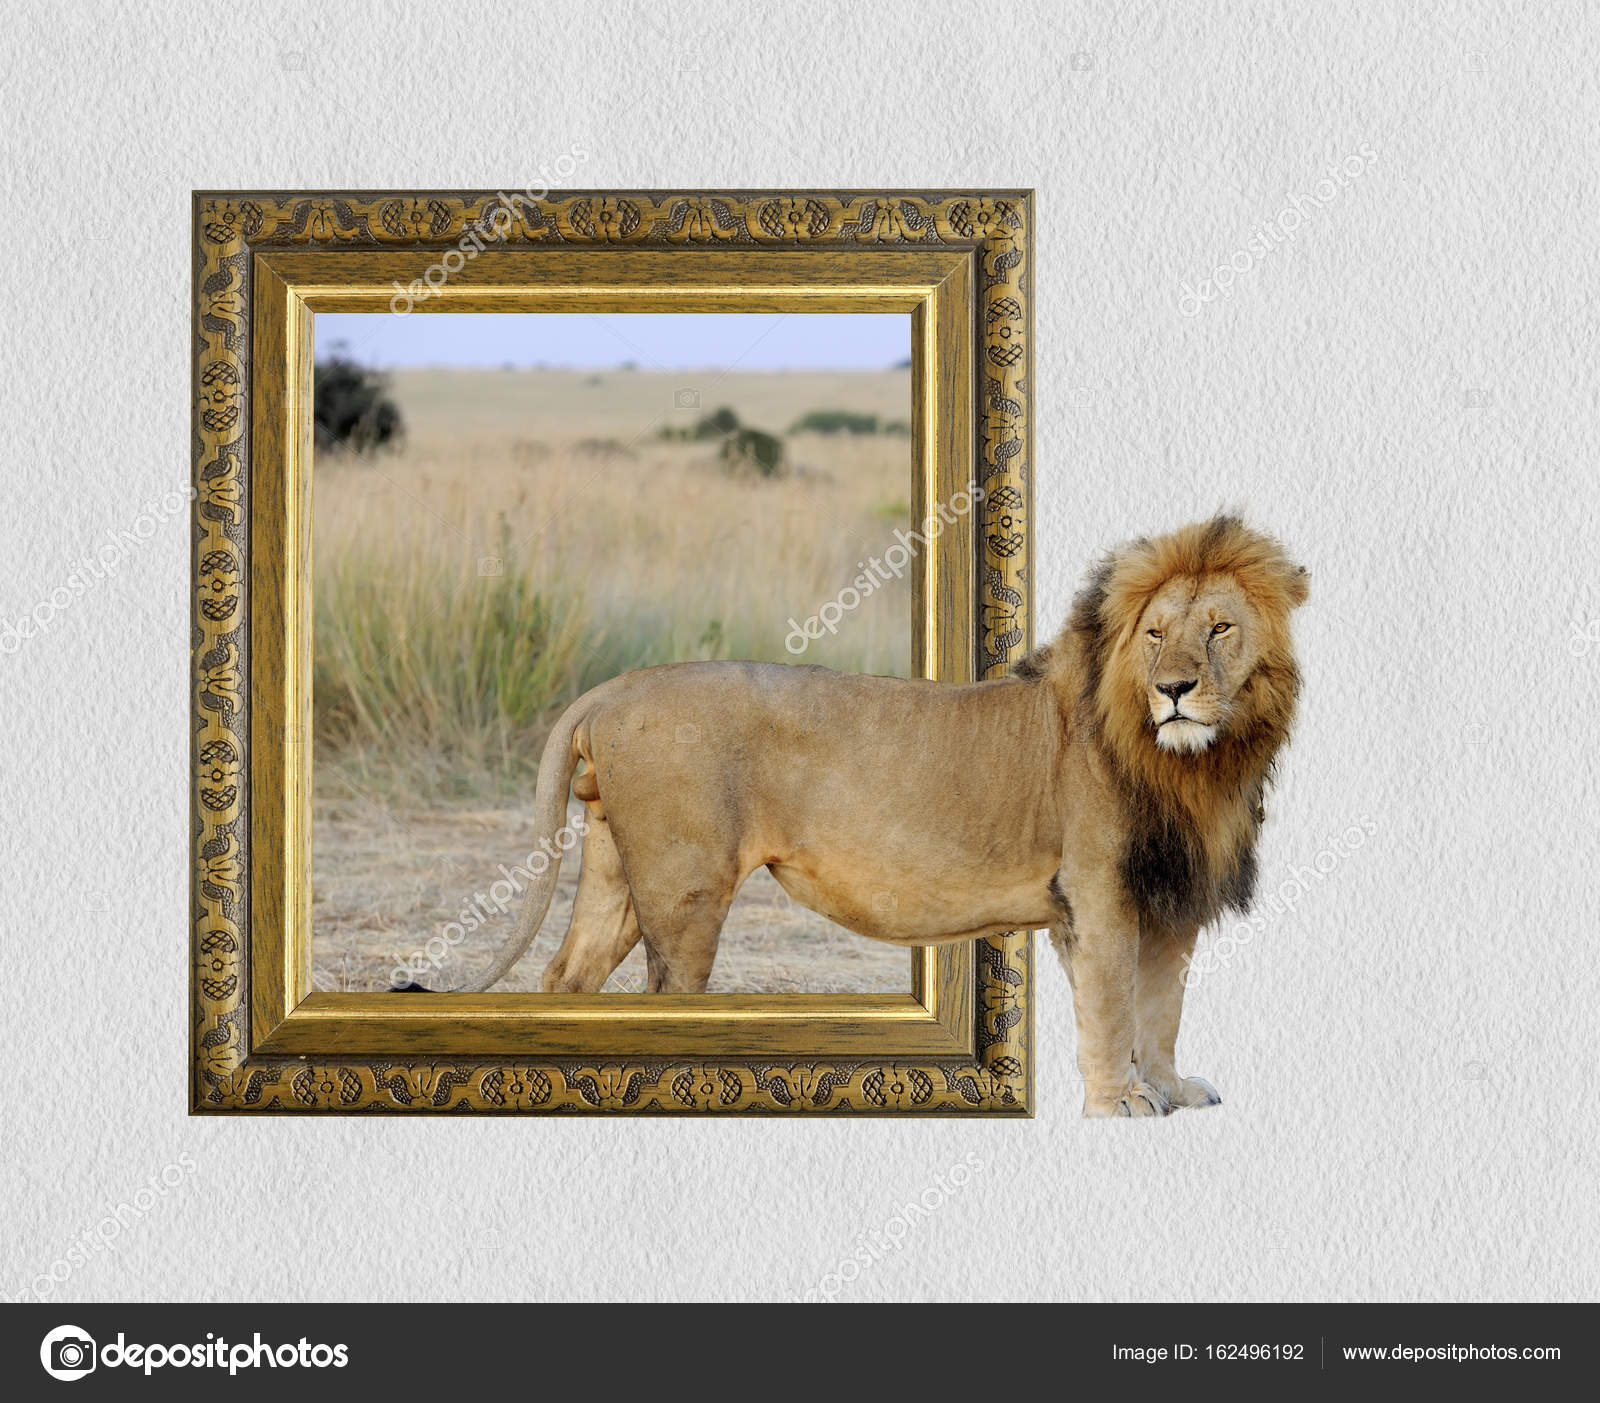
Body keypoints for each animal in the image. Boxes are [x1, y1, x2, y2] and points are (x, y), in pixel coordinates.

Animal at [424, 515, 1307, 1118]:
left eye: (1219, 626)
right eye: (1155, 633)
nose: (1174, 689)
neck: (1197, 764)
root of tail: (619, 683)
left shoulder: (1169, 898)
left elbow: (1161, 1007)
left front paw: (1167, 1088)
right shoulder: (1097, 891)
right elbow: (1114, 1002)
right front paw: (1118, 1101)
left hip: (617, 870)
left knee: (566, 973)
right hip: (684, 892)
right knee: (663, 988)